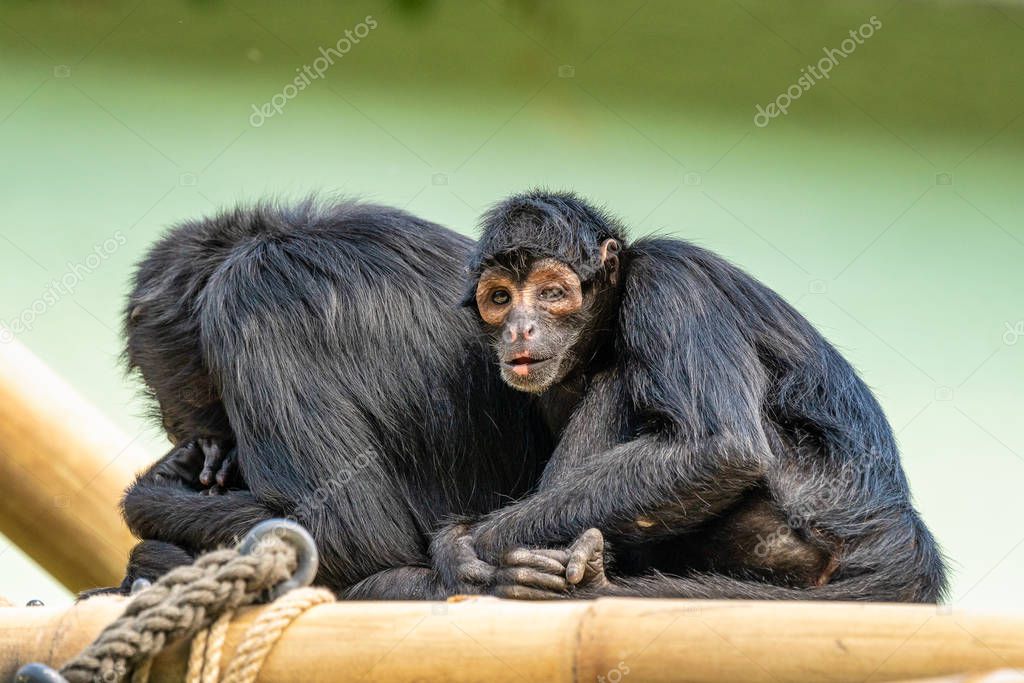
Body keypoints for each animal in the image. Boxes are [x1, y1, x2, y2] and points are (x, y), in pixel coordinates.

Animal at [431, 189, 947, 602]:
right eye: (501, 299)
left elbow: (719, 449)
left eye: (552, 293)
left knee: (619, 379)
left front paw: (468, 546)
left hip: (800, 503)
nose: (520, 328)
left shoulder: (669, 281)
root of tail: (901, 536)